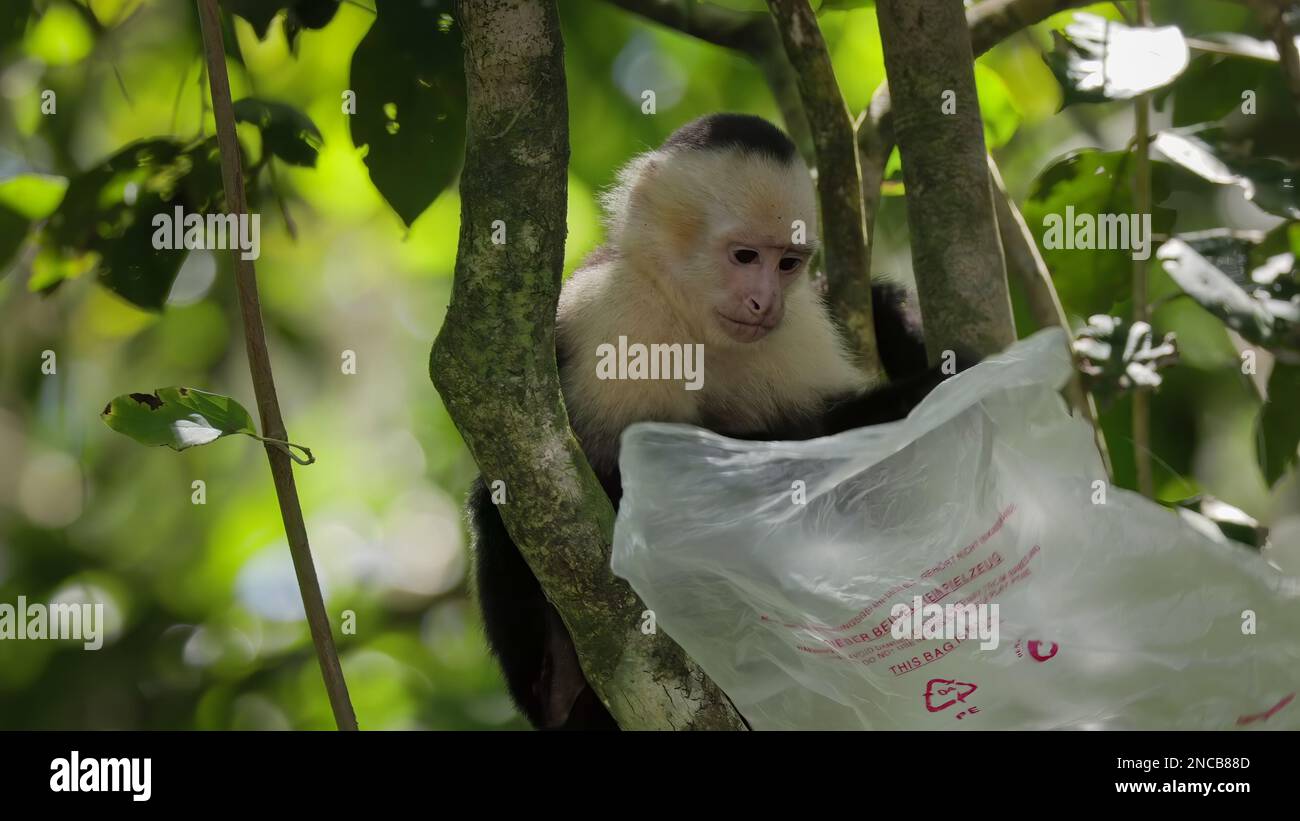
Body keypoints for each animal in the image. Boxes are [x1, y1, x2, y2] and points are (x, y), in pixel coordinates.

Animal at [467, 113, 973, 730]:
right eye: (744, 257)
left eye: (786, 262)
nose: (764, 303)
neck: (695, 322)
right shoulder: (621, 314)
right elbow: (626, 487)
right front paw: (916, 399)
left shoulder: (798, 329)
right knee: (497, 505)